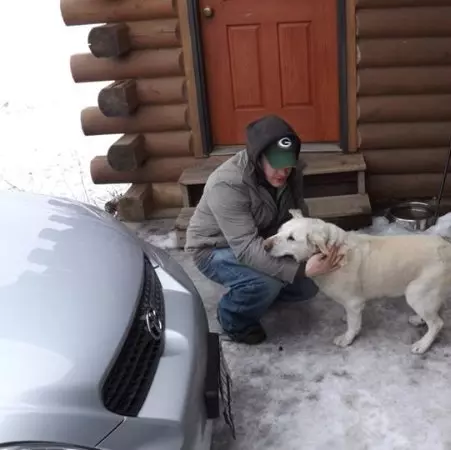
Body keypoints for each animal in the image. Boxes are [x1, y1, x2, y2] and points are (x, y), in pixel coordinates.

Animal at [264, 210, 451, 356]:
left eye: (291, 238)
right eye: (279, 231)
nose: (265, 245)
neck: (334, 249)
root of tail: (446, 246)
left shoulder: (354, 303)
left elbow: (353, 325)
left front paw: (346, 339)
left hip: (415, 292)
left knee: (437, 323)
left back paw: (423, 345)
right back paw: (419, 319)